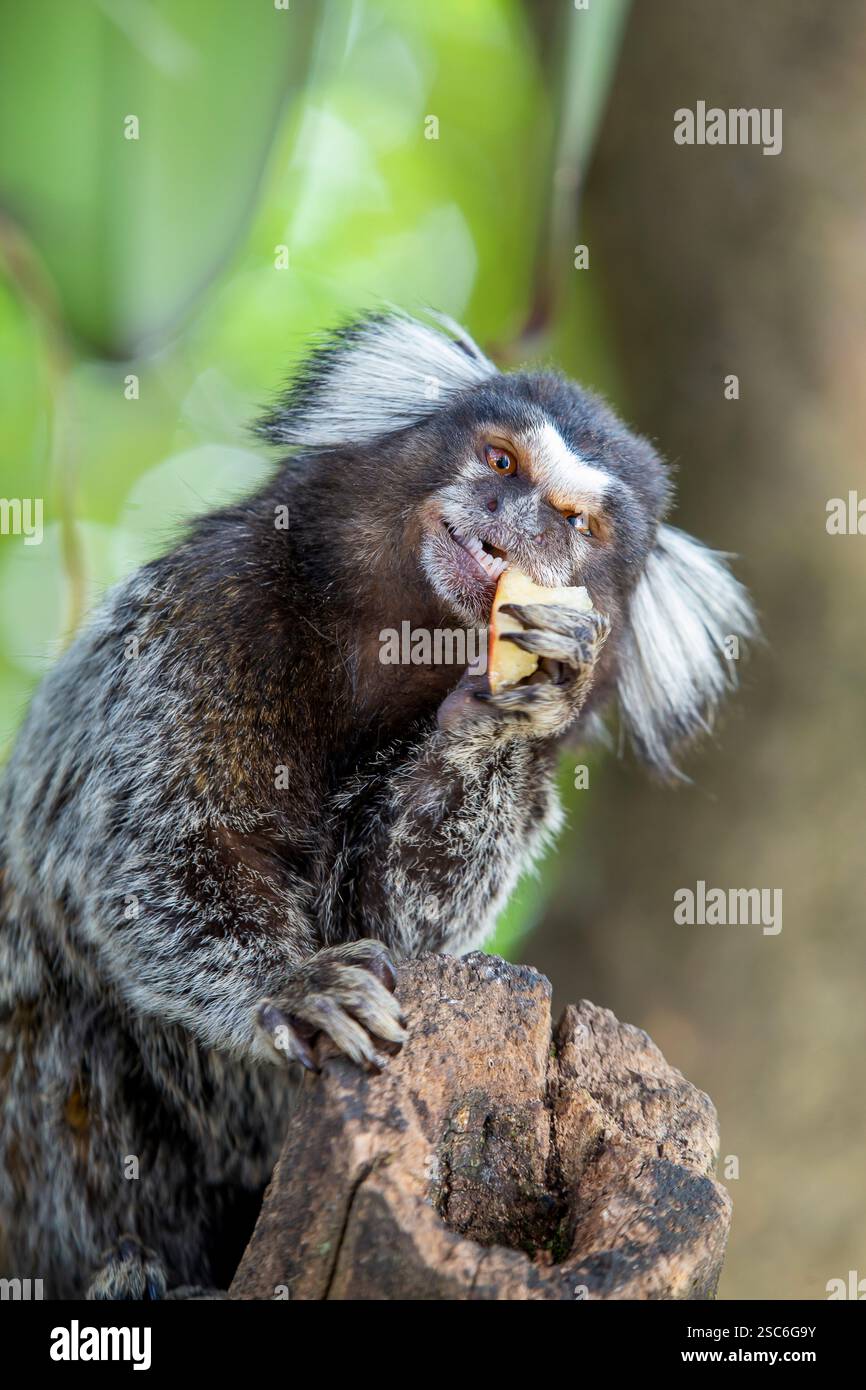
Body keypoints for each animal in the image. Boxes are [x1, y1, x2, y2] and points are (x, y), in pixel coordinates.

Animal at [0, 310, 755, 1299]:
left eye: (577, 523)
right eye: (503, 462)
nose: (519, 522)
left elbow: (403, 926)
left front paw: (512, 704)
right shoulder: (204, 608)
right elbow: (165, 856)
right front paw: (295, 988)